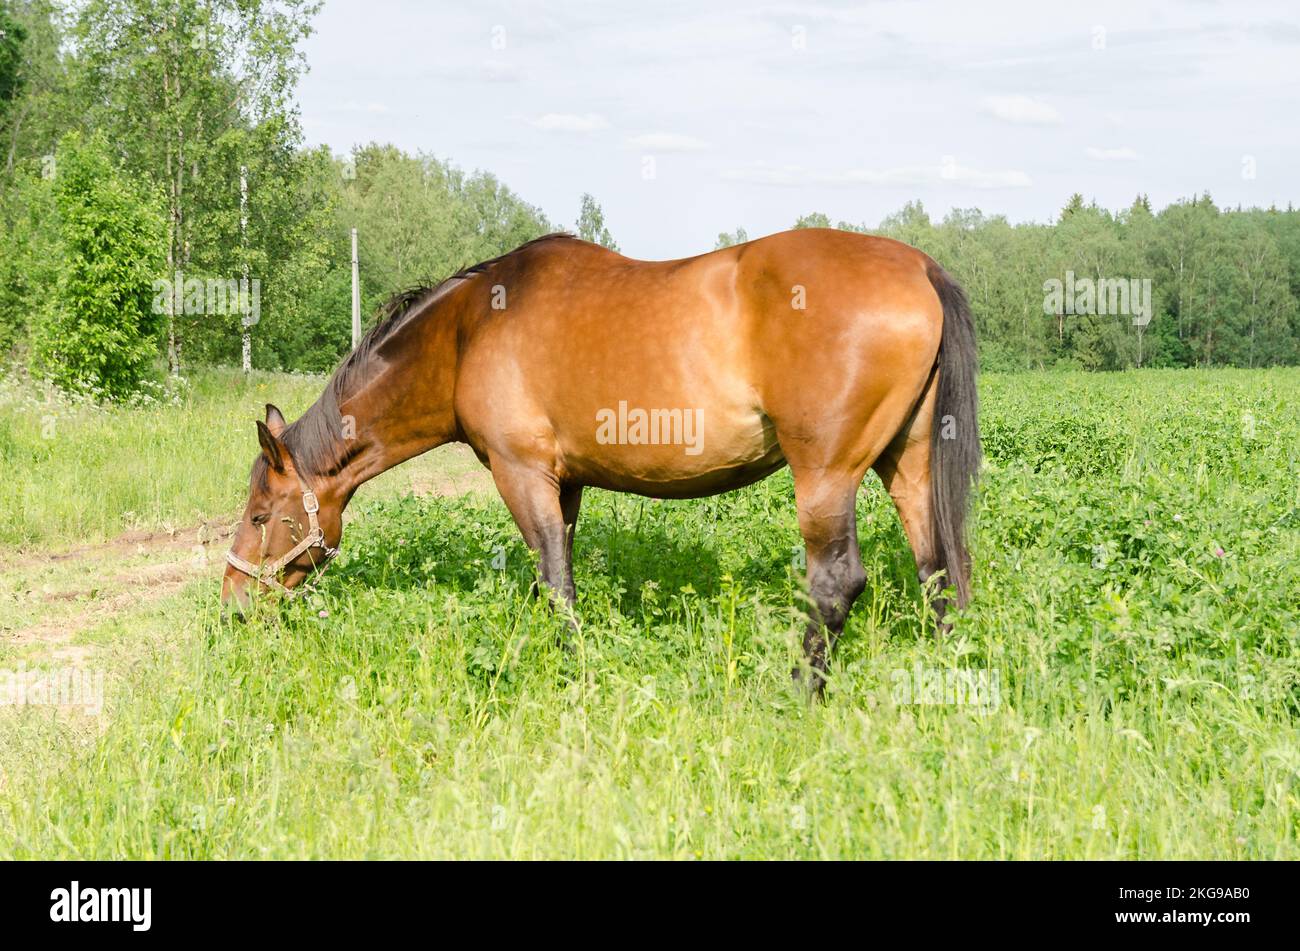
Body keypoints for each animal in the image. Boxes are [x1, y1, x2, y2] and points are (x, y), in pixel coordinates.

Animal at [222, 228, 980, 692]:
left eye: (260, 515)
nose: (232, 605)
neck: (469, 332)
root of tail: (919, 268)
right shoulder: (567, 485)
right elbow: (552, 578)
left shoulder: (521, 473)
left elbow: (556, 583)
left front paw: (571, 674)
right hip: (906, 464)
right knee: (938, 571)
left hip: (825, 475)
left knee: (835, 583)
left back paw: (798, 693)